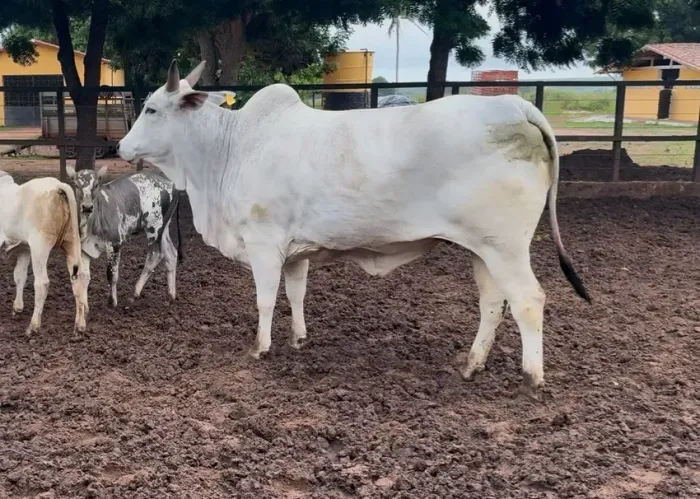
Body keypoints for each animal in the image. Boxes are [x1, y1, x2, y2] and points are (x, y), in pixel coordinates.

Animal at [0, 171, 88, 336]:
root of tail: (56, 184)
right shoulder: (24, 249)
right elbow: (19, 276)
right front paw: (17, 308)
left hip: (40, 245)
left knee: (42, 282)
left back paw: (33, 326)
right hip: (71, 242)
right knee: (79, 277)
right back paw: (80, 325)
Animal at [66, 165, 181, 310]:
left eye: (96, 185)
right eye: (76, 185)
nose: (87, 207)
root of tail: (170, 182)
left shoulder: (115, 243)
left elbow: (111, 274)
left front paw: (112, 302)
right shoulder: (84, 247)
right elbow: (84, 276)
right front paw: (83, 304)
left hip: (154, 227)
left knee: (155, 255)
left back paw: (134, 294)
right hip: (164, 228)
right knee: (171, 254)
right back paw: (171, 295)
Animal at [116, 60, 591, 398]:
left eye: (151, 109)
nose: (120, 146)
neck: (229, 150)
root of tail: (516, 105)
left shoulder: (264, 243)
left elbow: (265, 299)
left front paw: (260, 346)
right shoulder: (295, 251)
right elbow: (296, 294)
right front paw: (298, 338)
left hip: (505, 246)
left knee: (528, 300)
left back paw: (531, 379)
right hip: (482, 250)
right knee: (493, 303)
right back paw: (472, 364)